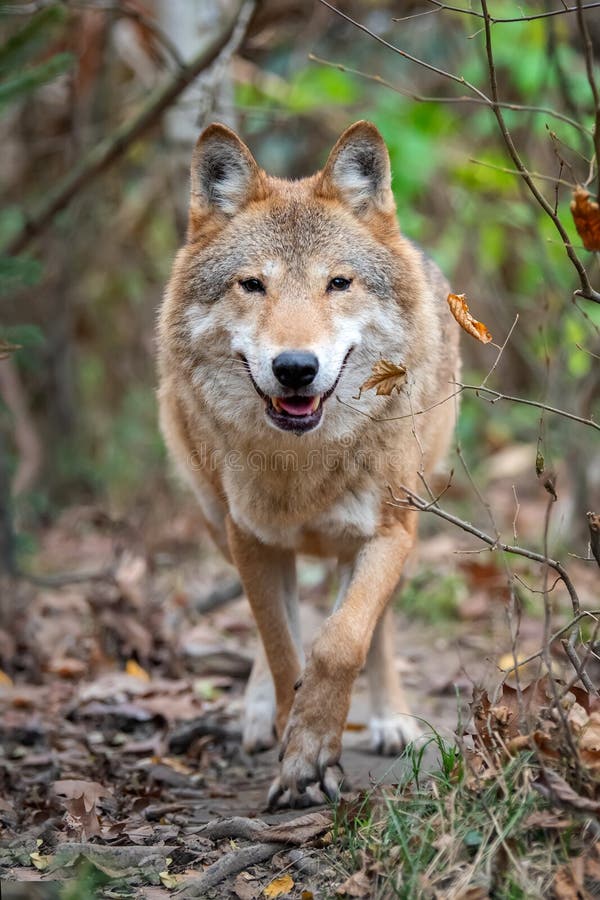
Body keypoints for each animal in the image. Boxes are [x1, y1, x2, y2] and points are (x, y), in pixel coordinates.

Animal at [157, 120, 460, 807]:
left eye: (338, 284)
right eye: (253, 285)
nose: (295, 367)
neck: (303, 462)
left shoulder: (390, 532)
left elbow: (342, 642)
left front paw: (315, 749)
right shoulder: (251, 540)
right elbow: (281, 647)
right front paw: (296, 752)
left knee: (376, 626)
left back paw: (391, 720)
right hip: (215, 520)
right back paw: (255, 714)